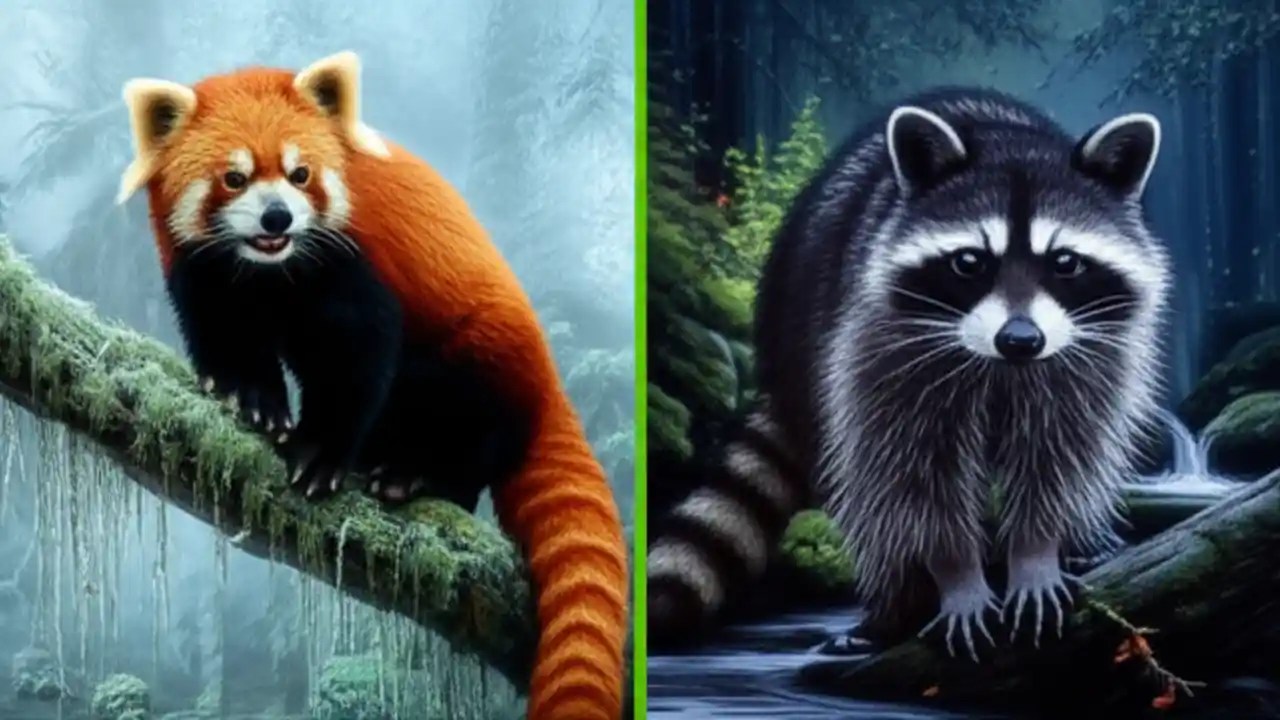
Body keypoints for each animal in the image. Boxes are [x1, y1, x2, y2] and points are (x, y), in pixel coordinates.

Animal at [648, 87, 1169, 658]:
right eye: (969, 262)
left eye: (1066, 262)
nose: (1020, 339)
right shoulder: (878, 347)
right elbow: (914, 480)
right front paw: (957, 576)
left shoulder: (1087, 360)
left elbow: (1058, 459)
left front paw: (1037, 553)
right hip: (808, 345)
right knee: (866, 488)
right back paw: (892, 608)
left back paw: (1081, 546)